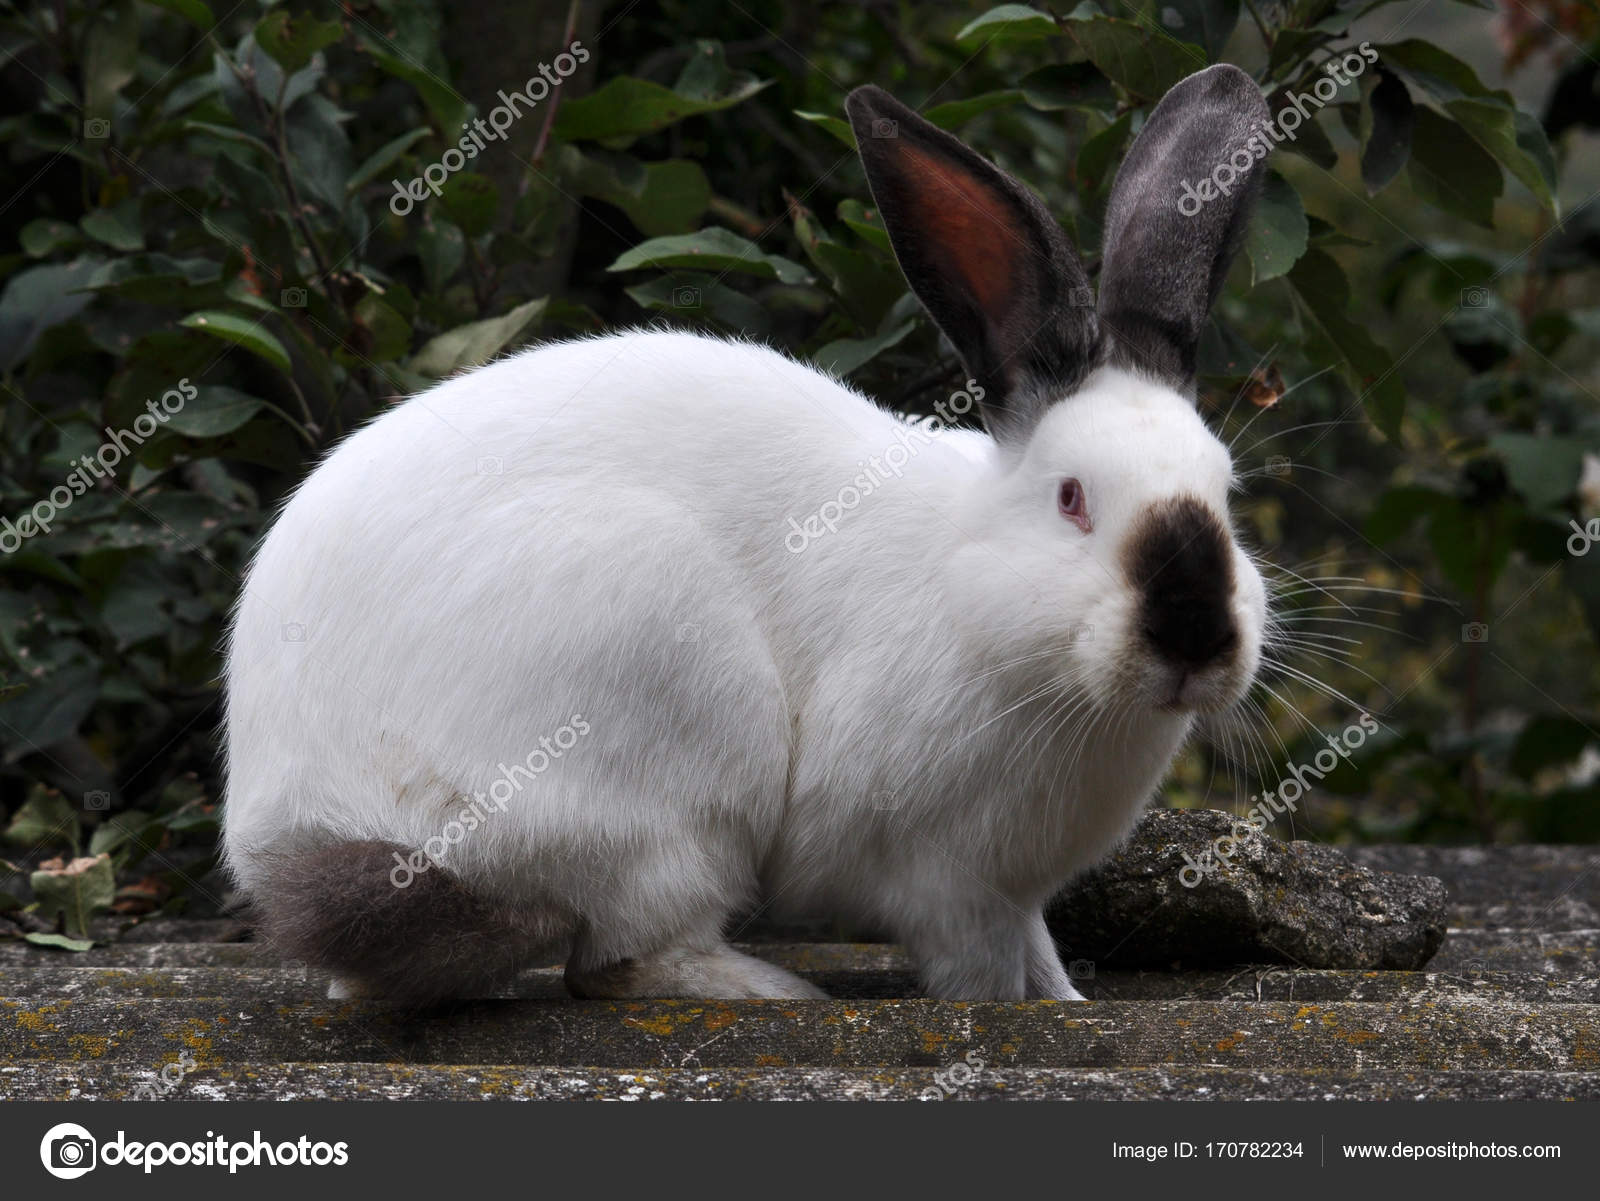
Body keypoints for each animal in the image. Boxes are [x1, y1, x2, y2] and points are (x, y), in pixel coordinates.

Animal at [222, 64, 1274, 1004]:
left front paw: (1068, 1000)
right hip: (664, 750)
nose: (1193, 635)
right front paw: (1012, 1011)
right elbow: (978, 975)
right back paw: (777, 990)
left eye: (1227, 492)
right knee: (625, 959)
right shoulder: (947, 879)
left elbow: (1040, 952)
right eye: (1072, 499)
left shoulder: (1016, 897)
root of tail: (296, 818)